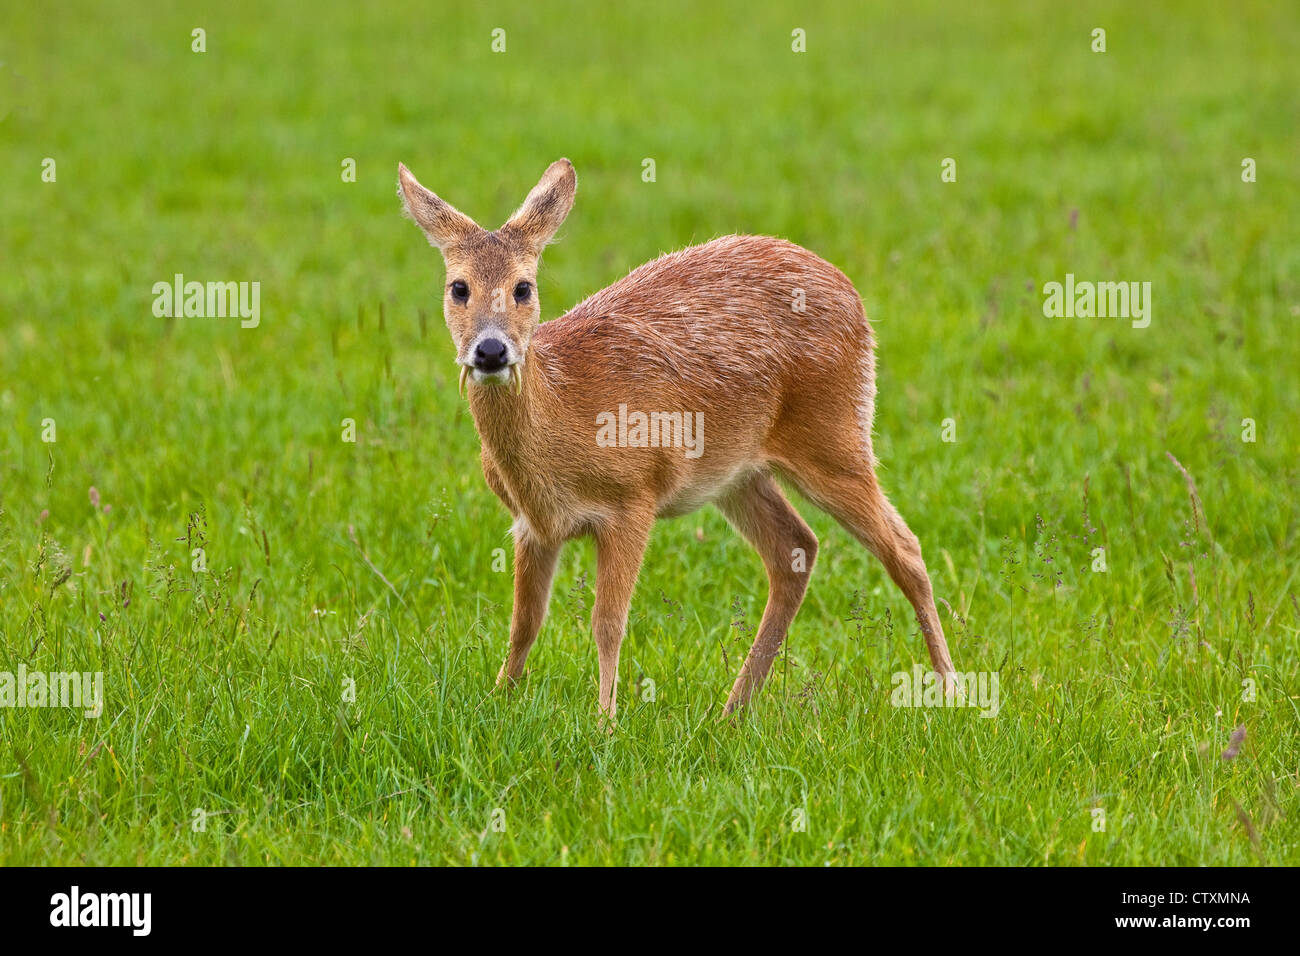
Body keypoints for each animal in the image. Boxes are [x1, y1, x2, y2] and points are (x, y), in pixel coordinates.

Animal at [397, 158, 957, 727]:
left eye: (523, 287)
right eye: (458, 287)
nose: (490, 350)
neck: (561, 422)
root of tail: (854, 296)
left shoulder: (632, 497)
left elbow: (608, 621)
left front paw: (605, 722)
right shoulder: (532, 524)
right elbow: (525, 622)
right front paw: (499, 699)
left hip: (835, 434)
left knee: (905, 549)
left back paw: (950, 690)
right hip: (738, 473)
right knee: (796, 548)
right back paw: (734, 708)